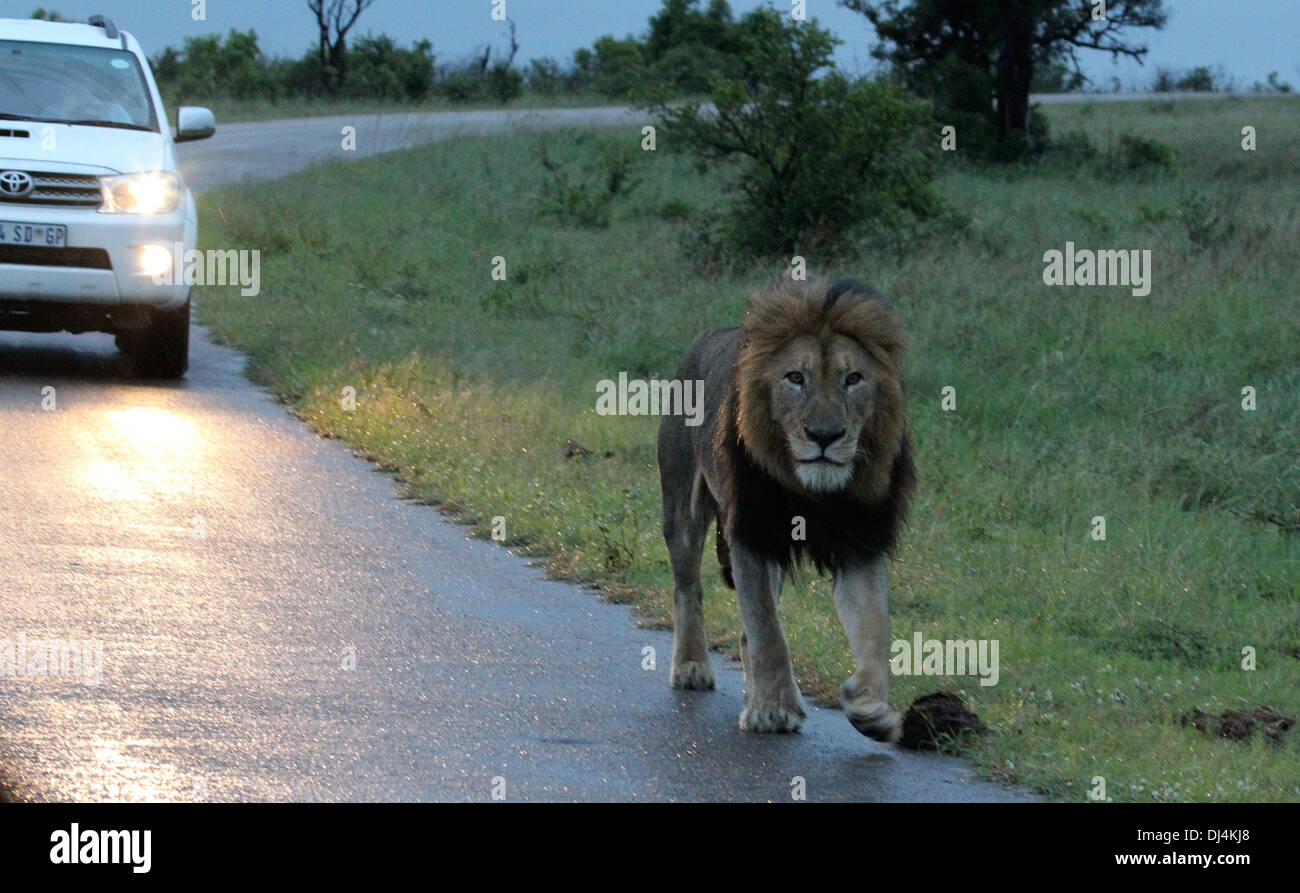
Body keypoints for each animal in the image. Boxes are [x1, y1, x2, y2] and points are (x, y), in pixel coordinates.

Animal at [656, 276, 915, 742]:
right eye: (795, 377)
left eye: (853, 378)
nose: (825, 436)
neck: (814, 490)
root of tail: (706, 337)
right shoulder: (751, 534)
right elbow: (768, 630)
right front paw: (774, 710)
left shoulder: (859, 543)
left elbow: (874, 629)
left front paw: (872, 708)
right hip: (682, 509)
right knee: (688, 589)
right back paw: (691, 666)